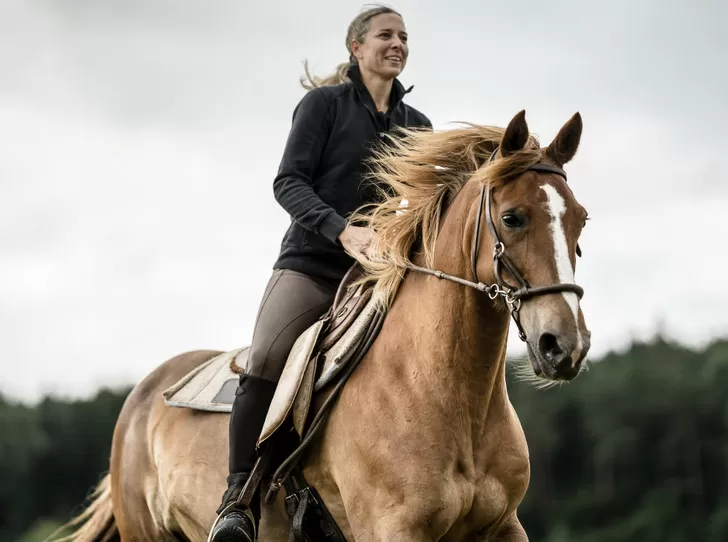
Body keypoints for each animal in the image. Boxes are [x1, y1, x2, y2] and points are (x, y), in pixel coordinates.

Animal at [55, 108, 592, 540]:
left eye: (581, 220)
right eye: (513, 217)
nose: (563, 345)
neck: (450, 395)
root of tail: (145, 393)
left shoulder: (502, 527)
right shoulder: (392, 529)